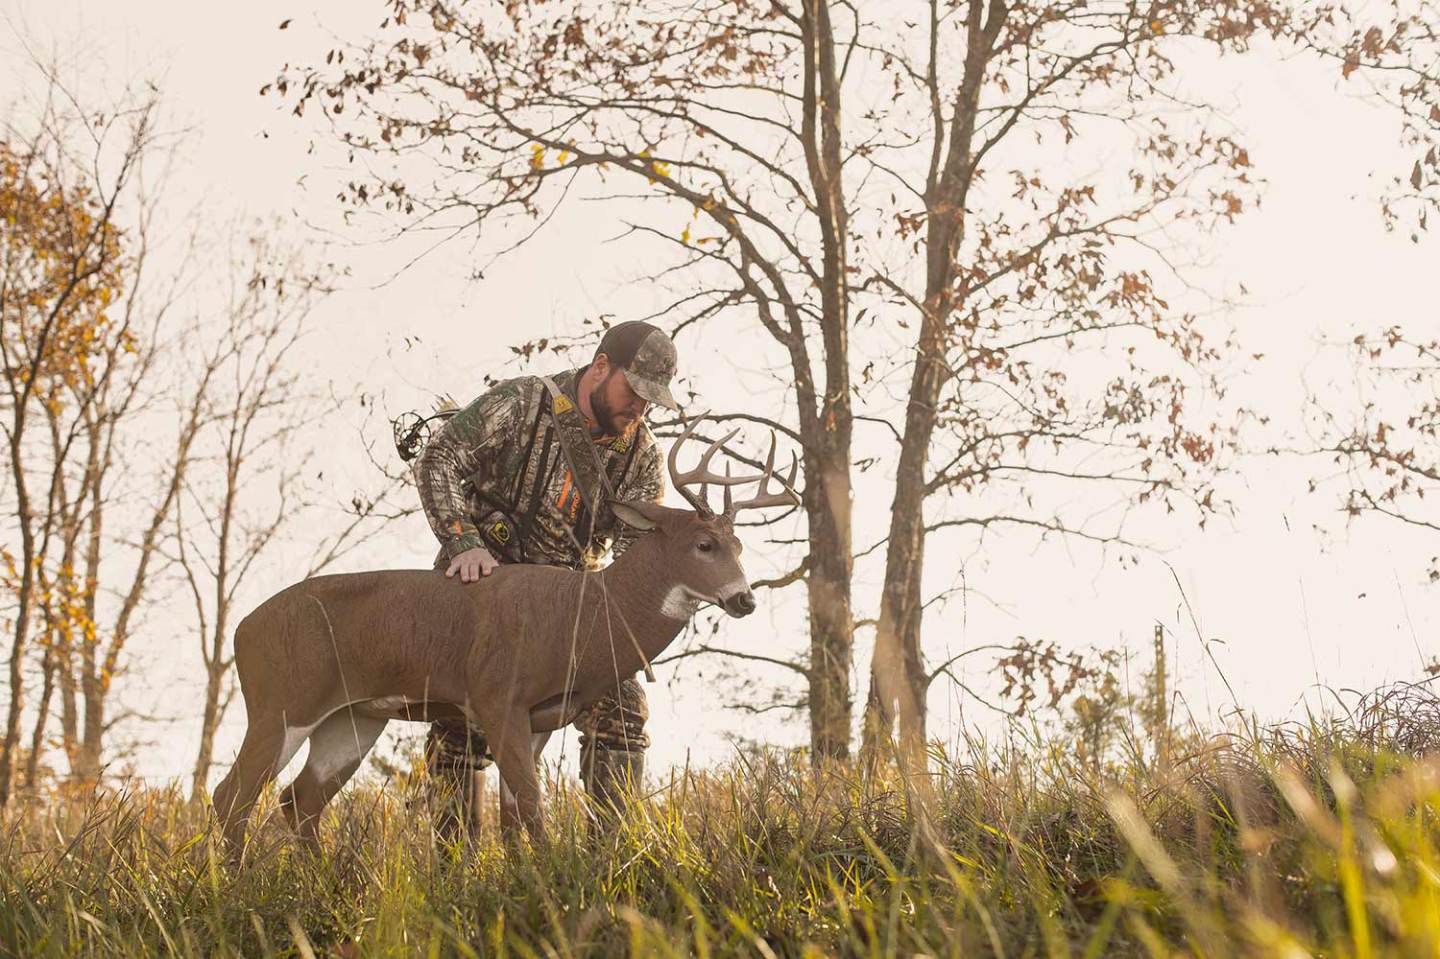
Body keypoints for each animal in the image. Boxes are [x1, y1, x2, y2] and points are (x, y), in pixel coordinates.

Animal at [211, 420, 799, 851]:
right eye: (704, 544)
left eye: (740, 547)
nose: (744, 600)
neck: (581, 620)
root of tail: (242, 630)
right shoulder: (496, 694)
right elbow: (533, 808)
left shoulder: (540, 716)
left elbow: (517, 815)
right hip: (284, 699)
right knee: (231, 795)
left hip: (355, 716)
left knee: (299, 800)